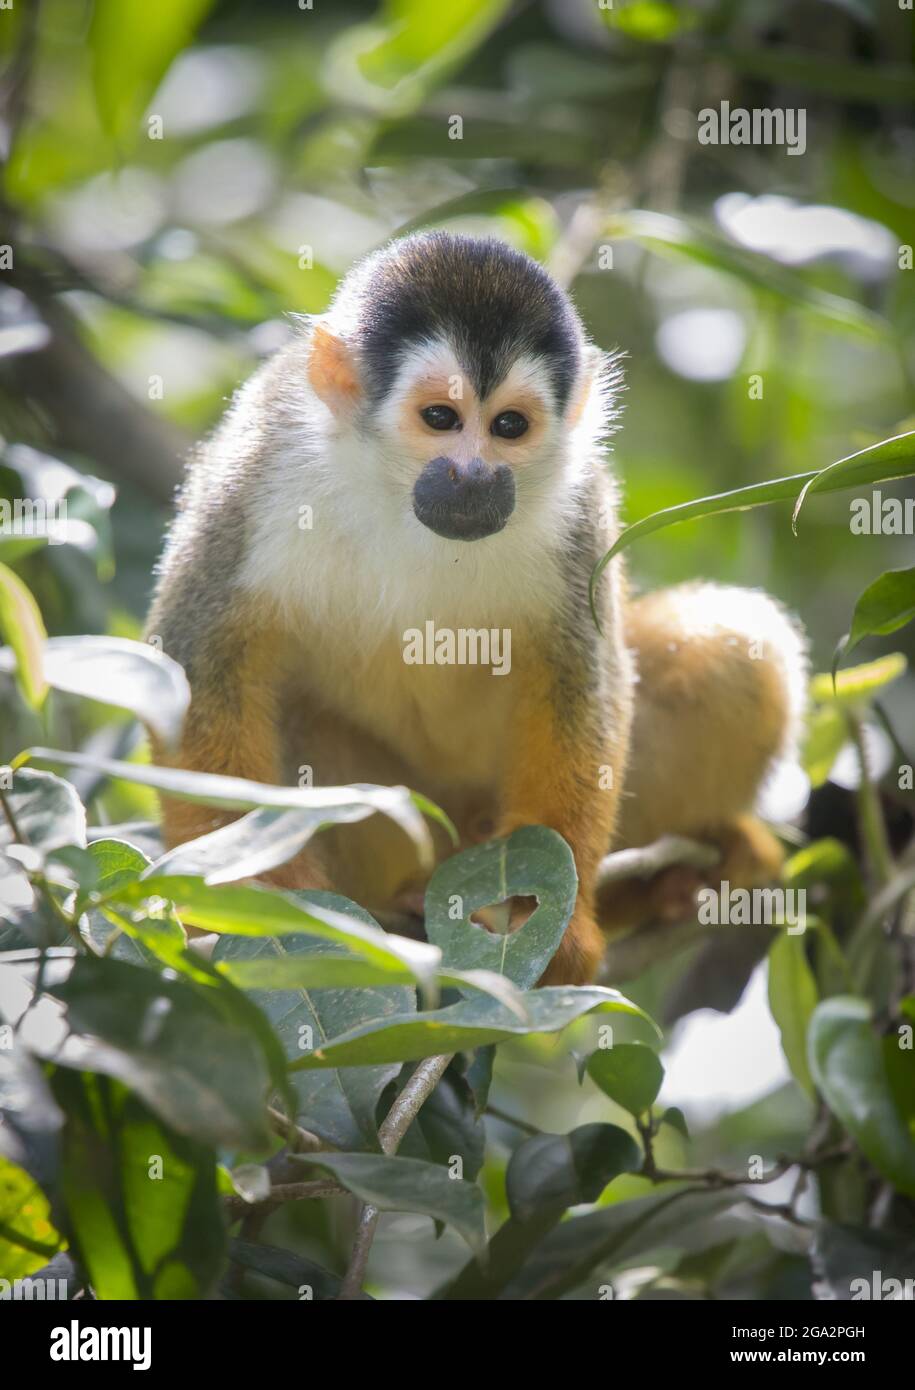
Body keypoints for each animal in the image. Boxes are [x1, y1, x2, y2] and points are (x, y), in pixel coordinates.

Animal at [145, 231, 807, 986]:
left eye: (509, 426)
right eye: (440, 418)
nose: (474, 475)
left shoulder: (579, 506)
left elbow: (580, 682)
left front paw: (547, 924)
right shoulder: (259, 465)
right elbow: (198, 665)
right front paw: (255, 904)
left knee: (738, 646)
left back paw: (676, 877)